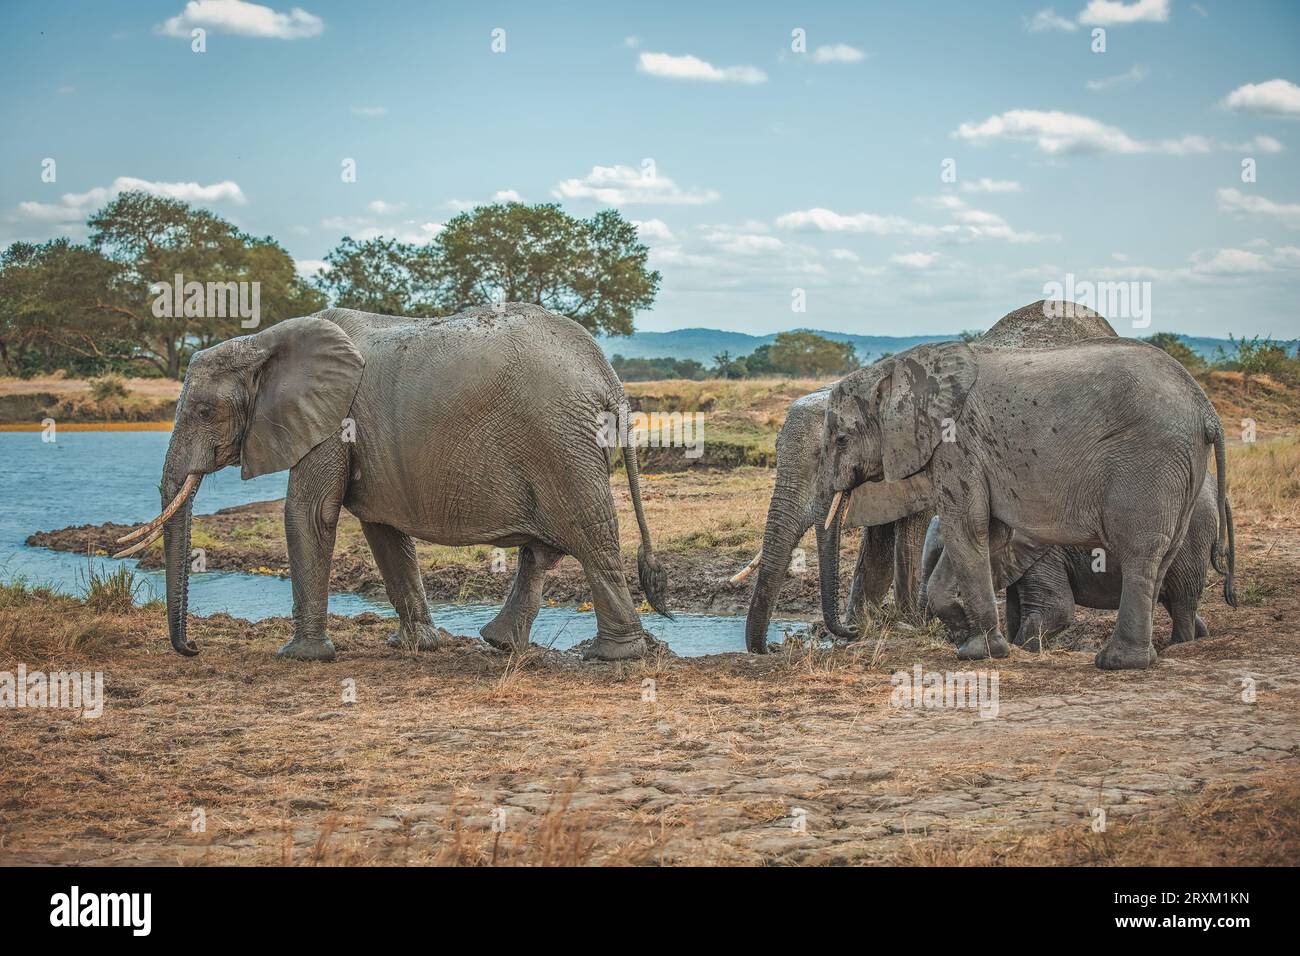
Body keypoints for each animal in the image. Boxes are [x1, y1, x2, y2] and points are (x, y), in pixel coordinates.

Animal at [113, 304, 671, 663]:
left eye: (205, 412)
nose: (191, 648)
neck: (263, 341)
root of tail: (610, 380)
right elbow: (382, 529)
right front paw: (416, 647)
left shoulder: (332, 419)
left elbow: (310, 512)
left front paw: (300, 656)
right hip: (563, 443)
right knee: (544, 549)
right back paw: (500, 644)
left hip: (561, 441)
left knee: (589, 535)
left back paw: (613, 656)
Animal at [918, 472, 1235, 651]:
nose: (954, 636)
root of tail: (1215, 488)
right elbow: (1017, 610)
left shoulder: (1046, 552)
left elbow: (1056, 611)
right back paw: (1199, 636)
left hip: (1192, 537)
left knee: (1182, 599)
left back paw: (1179, 645)